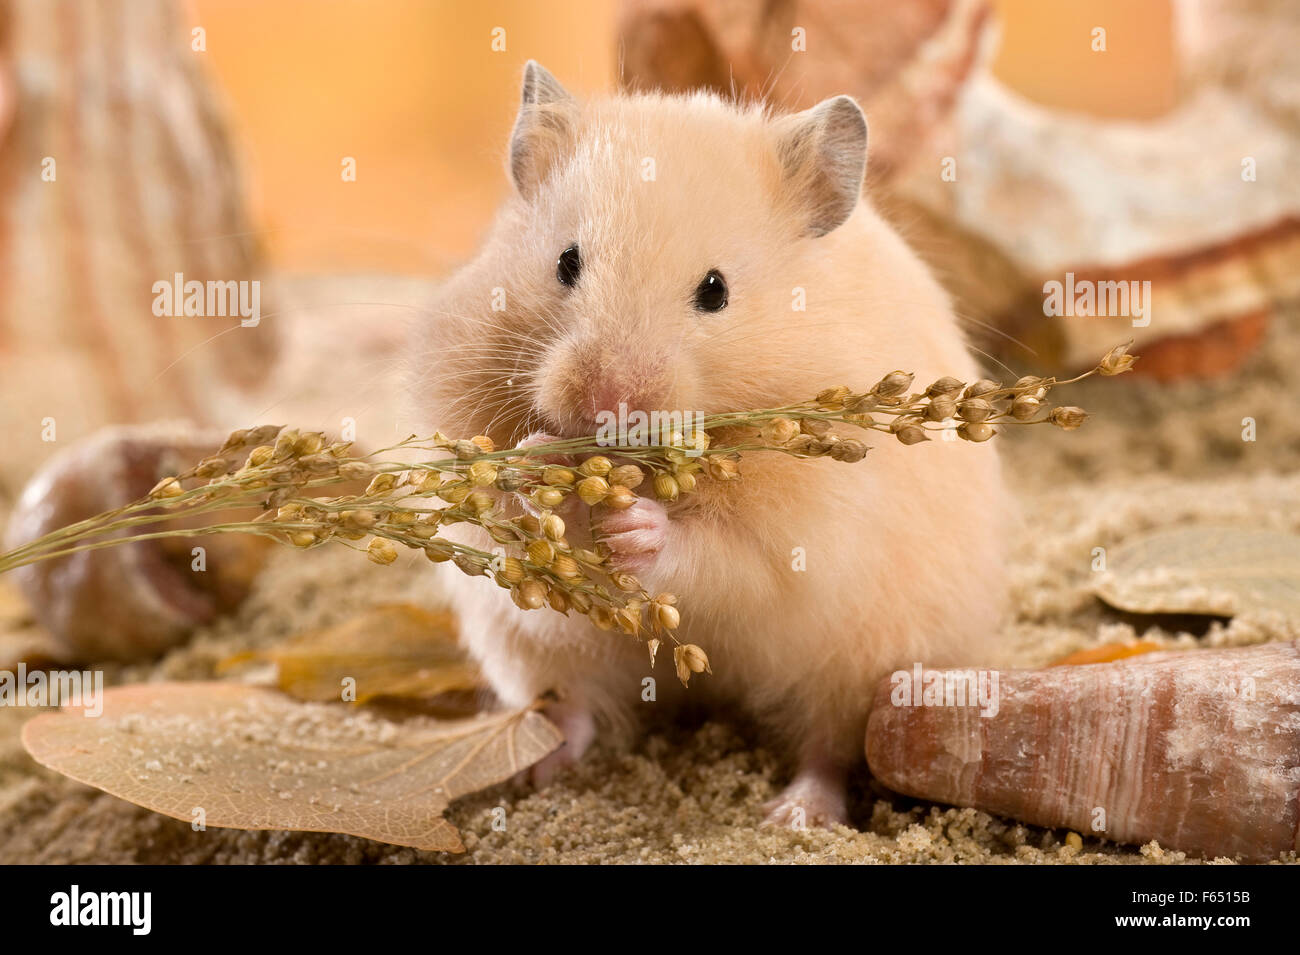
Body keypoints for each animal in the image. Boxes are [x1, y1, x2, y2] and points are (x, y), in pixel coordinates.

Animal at [412, 61, 1012, 826]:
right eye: (567, 262)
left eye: (715, 290)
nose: (608, 402)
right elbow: (480, 502)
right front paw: (535, 473)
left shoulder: (803, 529)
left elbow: (722, 555)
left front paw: (635, 529)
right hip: (521, 645)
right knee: (571, 707)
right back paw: (537, 770)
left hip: (867, 661)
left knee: (830, 745)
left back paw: (794, 815)